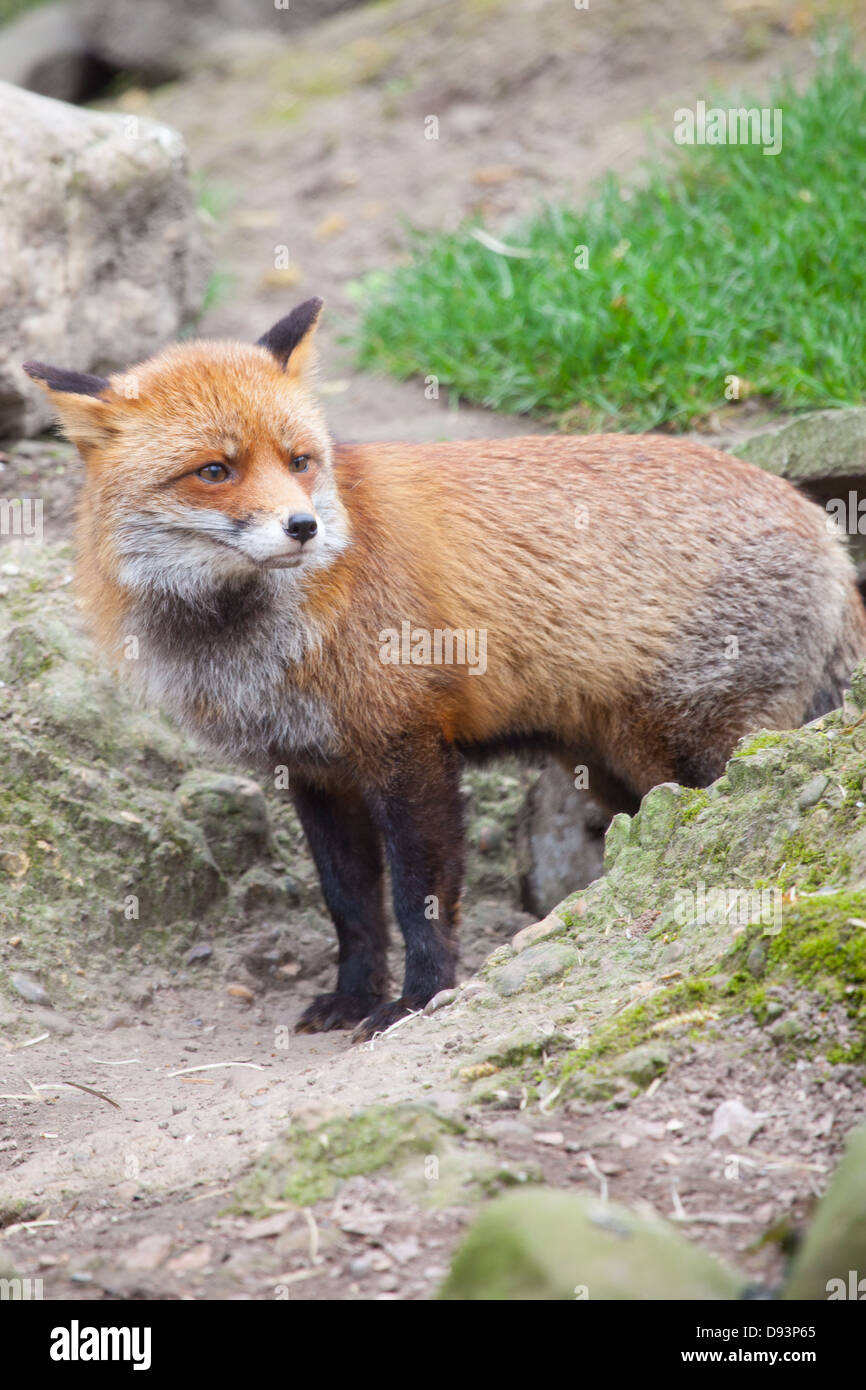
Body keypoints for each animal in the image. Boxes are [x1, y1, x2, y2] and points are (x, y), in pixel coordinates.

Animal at [24, 297, 866, 1040]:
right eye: (214, 470)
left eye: (299, 462)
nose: (304, 526)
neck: (261, 639)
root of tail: (824, 530)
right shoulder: (317, 771)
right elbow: (352, 907)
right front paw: (353, 997)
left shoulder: (411, 749)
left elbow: (418, 900)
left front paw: (416, 1001)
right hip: (622, 761)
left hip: (696, 748)